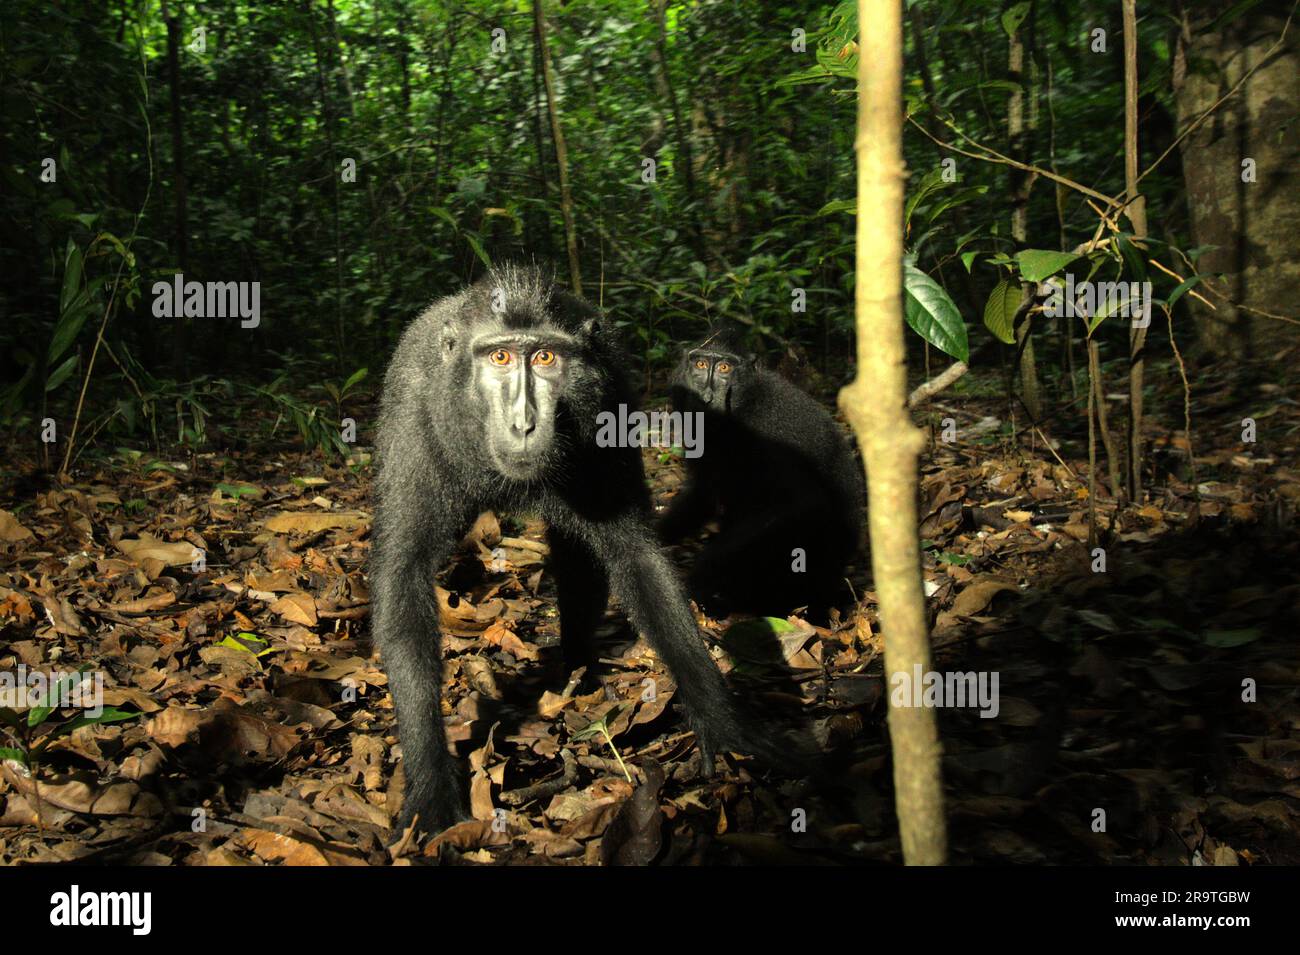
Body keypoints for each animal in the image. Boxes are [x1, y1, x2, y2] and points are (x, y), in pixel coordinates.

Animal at [370, 267, 798, 837]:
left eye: (546, 358)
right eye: (500, 357)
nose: (524, 423)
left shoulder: (610, 398)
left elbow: (633, 555)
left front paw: (721, 720)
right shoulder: (416, 417)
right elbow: (405, 574)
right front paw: (432, 782)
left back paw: (575, 669)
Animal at [657, 327, 864, 620]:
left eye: (724, 368)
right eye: (700, 365)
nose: (706, 397)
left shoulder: (769, 427)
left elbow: (803, 502)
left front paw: (699, 574)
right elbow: (703, 494)